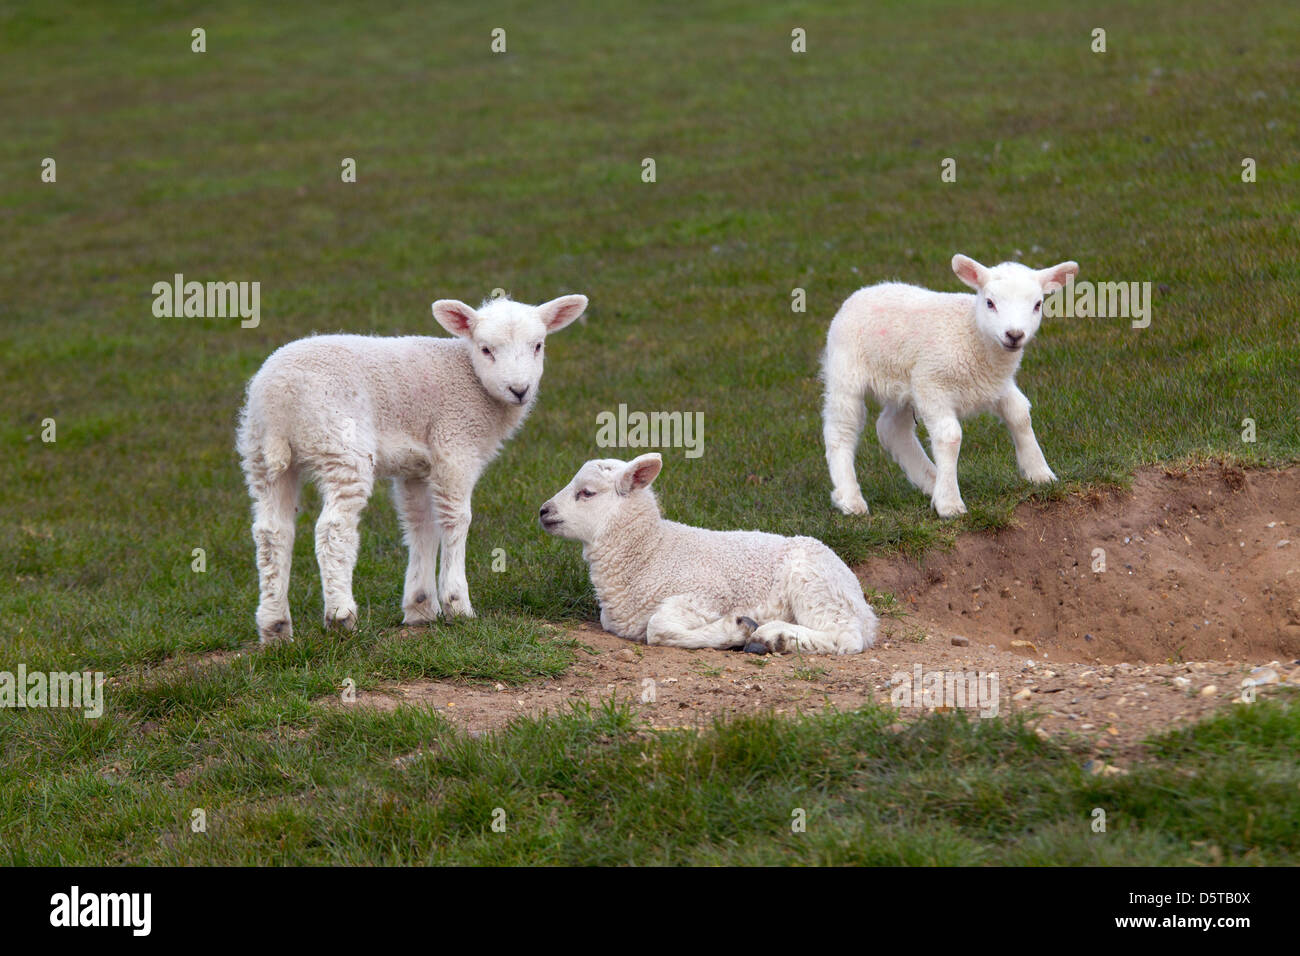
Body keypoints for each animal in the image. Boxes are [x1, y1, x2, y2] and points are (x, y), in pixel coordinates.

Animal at [237, 291, 590, 642]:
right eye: (486, 349)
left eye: (538, 346)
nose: (519, 390)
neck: (471, 379)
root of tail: (279, 401)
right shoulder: (454, 445)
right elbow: (456, 520)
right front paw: (456, 604)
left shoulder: (416, 466)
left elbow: (421, 525)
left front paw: (420, 608)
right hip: (339, 443)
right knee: (333, 528)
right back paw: (341, 615)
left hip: (260, 455)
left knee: (272, 532)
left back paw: (274, 627)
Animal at [533, 452, 878, 655]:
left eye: (586, 493)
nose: (543, 511)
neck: (650, 553)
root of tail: (861, 602)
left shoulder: (708, 594)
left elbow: (657, 627)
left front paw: (735, 629)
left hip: (814, 584)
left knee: (845, 636)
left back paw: (773, 637)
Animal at [821, 254, 1076, 520]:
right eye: (990, 303)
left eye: (1037, 305)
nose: (1014, 335)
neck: (973, 336)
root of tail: (862, 292)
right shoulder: (933, 385)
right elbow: (950, 436)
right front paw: (949, 503)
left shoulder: (996, 384)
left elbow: (1020, 415)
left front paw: (1040, 474)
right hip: (846, 372)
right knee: (841, 430)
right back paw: (850, 498)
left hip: (906, 383)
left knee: (891, 429)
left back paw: (931, 479)